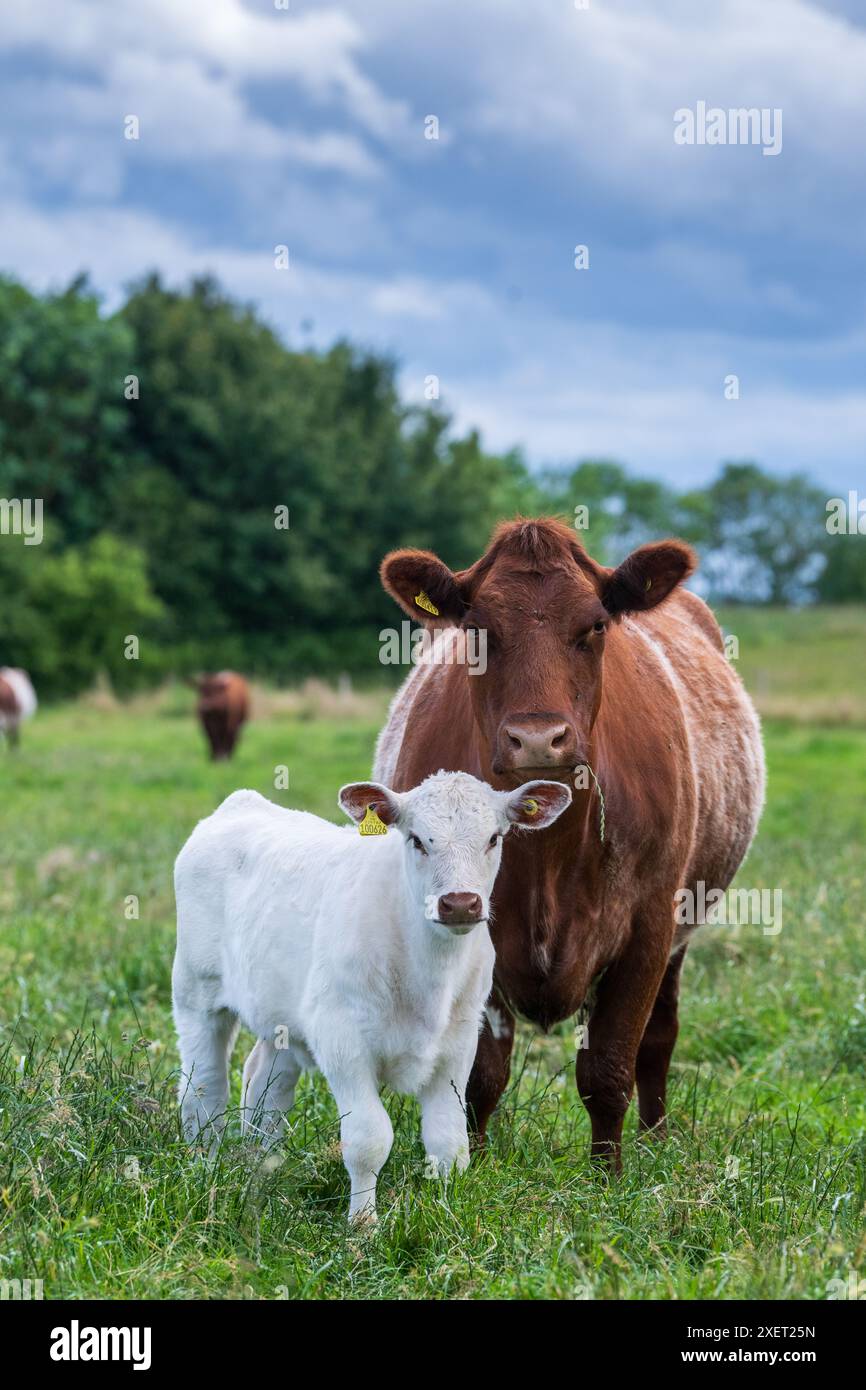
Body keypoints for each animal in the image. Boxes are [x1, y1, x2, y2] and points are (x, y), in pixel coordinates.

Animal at [172, 772, 570, 1222]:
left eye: (493, 838)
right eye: (416, 840)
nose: (459, 904)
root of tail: (242, 804)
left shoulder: (459, 1042)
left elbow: (448, 1140)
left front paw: (445, 1213)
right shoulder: (341, 1038)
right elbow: (368, 1140)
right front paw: (363, 1224)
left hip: (282, 1017)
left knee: (265, 1090)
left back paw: (263, 1168)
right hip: (196, 991)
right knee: (203, 1088)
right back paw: (205, 1167)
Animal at [374, 517, 765, 1170]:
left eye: (596, 626)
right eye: (477, 630)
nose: (537, 738)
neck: (547, 854)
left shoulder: (648, 927)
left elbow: (608, 1069)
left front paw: (607, 1178)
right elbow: (479, 1073)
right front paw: (474, 1164)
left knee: (659, 1039)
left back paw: (655, 1142)